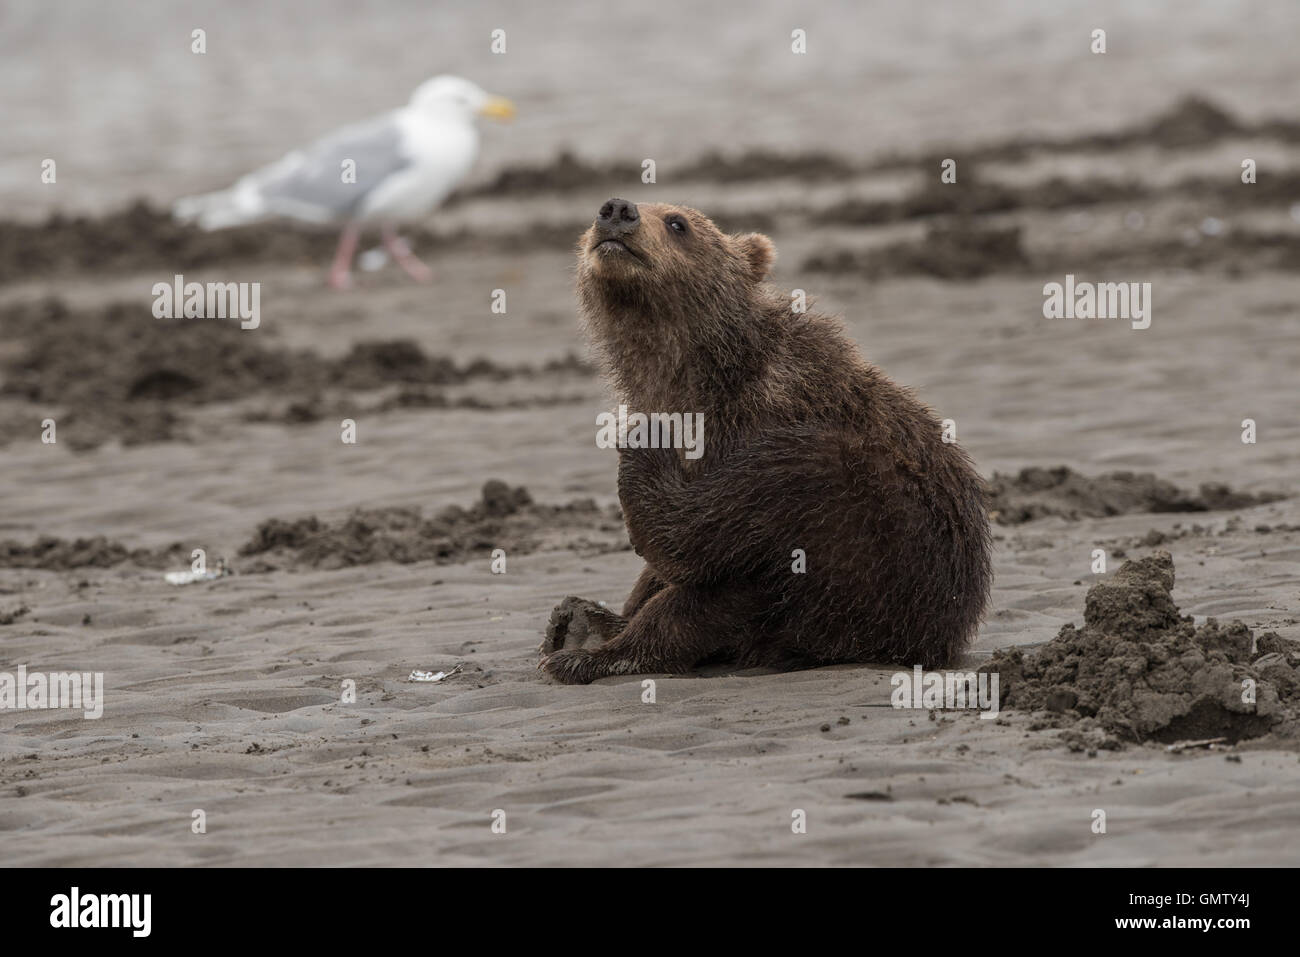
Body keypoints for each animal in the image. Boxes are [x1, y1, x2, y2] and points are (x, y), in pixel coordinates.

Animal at [539, 198, 992, 684]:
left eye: (677, 223)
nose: (618, 210)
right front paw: (590, 618)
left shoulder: (769, 442)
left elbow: (699, 555)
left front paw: (590, 654)